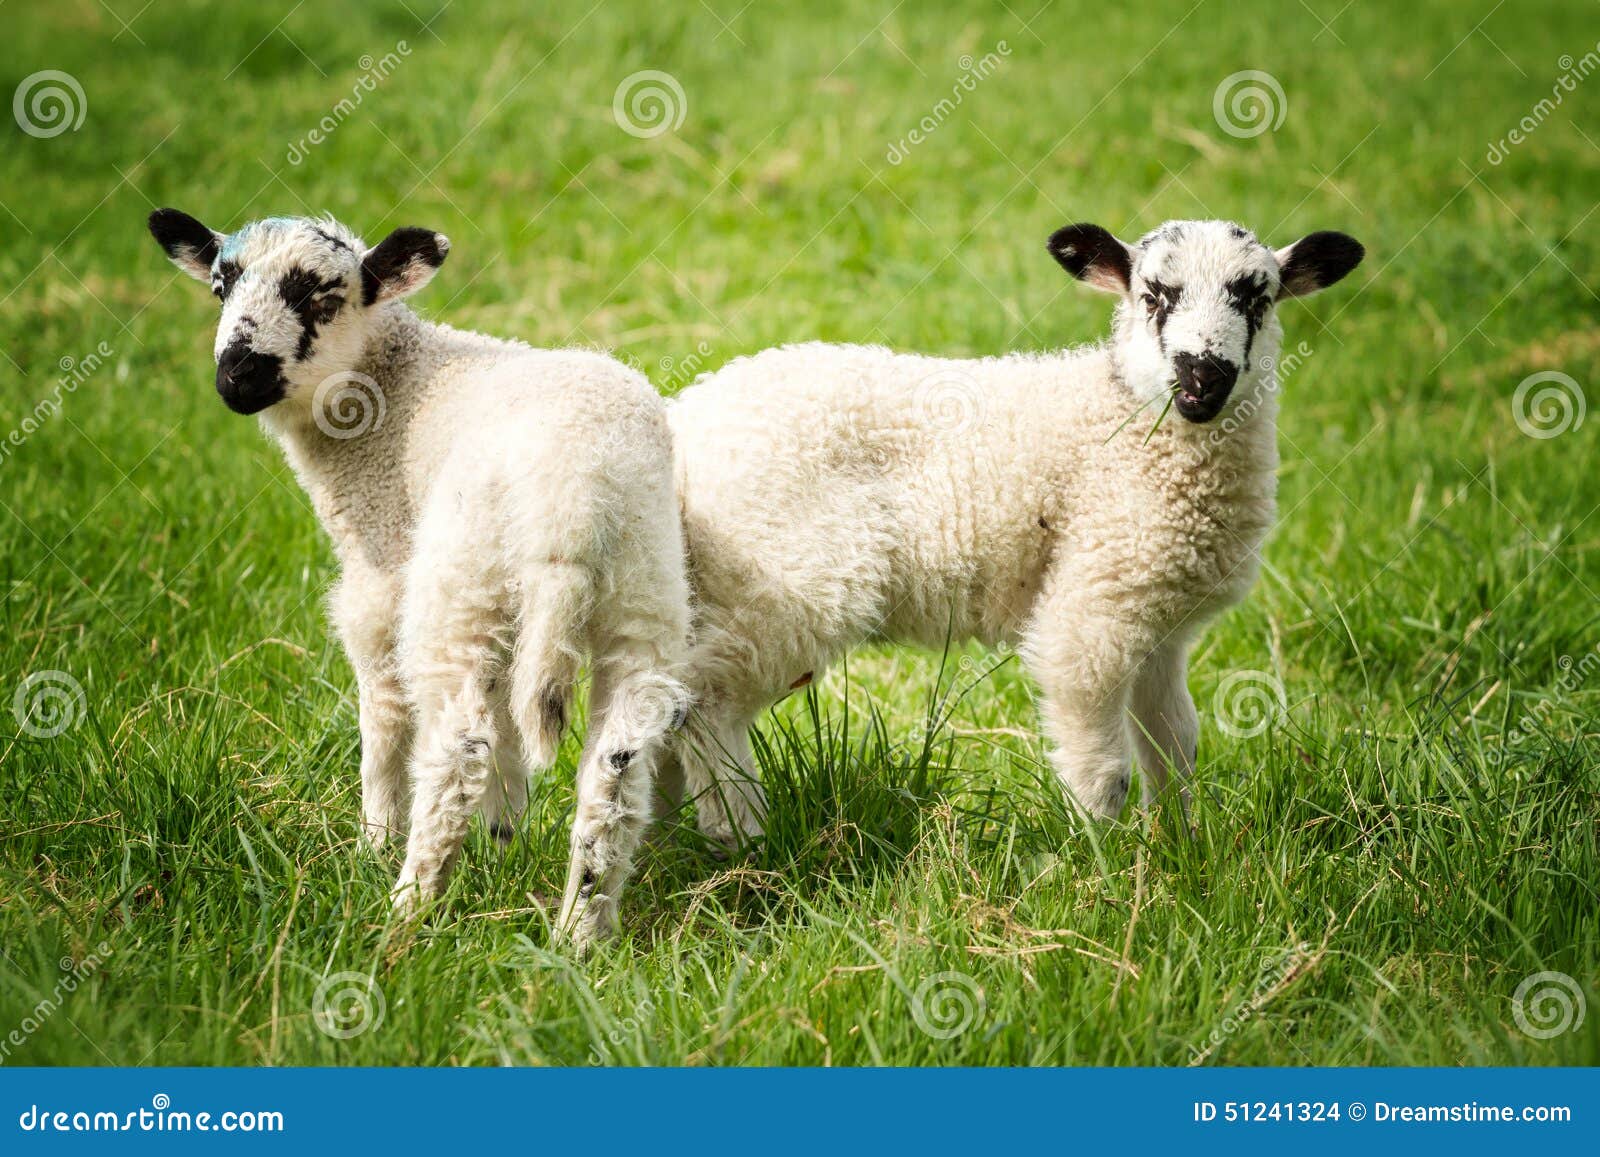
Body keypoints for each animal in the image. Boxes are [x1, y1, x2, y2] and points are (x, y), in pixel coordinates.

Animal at [146, 209, 689, 946]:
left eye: (322, 296)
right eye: (218, 287)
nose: (237, 375)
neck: (393, 388)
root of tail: (573, 493)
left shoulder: (379, 586)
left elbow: (383, 717)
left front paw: (372, 842)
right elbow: (509, 735)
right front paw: (503, 838)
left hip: (457, 582)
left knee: (458, 742)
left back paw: (408, 905)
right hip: (641, 588)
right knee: (617, 761)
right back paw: (580, 931)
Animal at [665, 219, 1363, 839]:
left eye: (1257, 298)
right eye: (1152, 295)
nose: (1203, 377)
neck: (1128, 425)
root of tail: (685, 417)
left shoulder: (1162, 625)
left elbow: (1175, 750)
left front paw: (1183, 854)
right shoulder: (1096, 608)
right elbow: (1105, 772)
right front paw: (1101, 869)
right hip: (788, 579)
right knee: (699, 701)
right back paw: (743, 835)